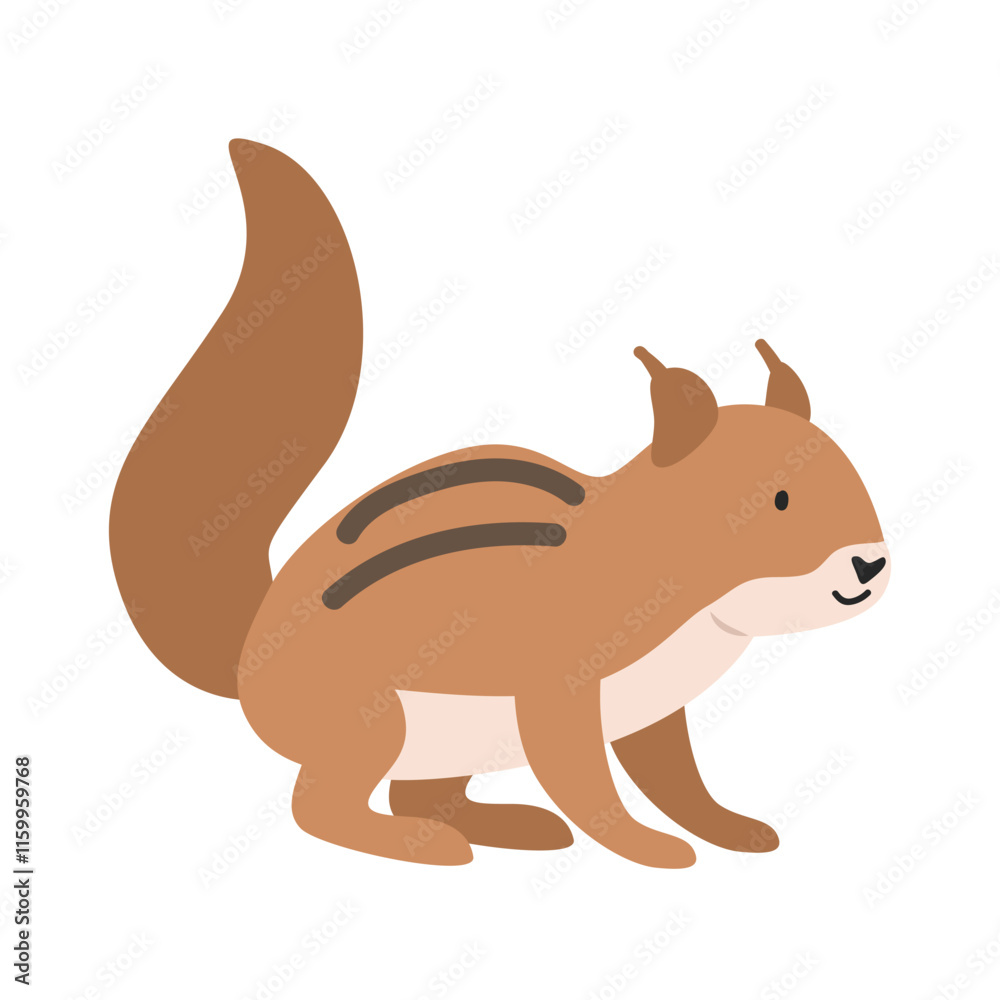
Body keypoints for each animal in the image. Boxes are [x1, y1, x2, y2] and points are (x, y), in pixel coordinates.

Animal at [110, 140, 890, 868]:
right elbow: (586, 781)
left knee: (417, 793)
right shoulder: (560, 687)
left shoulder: (651, 707)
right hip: (372, 721)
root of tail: (247, 658)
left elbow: (677, 780)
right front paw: (646, 847)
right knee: (320, 807)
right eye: (777, 499)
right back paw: (422, 843)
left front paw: (729, 828)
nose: (869, 565)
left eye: (850, 474)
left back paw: (502, 826)